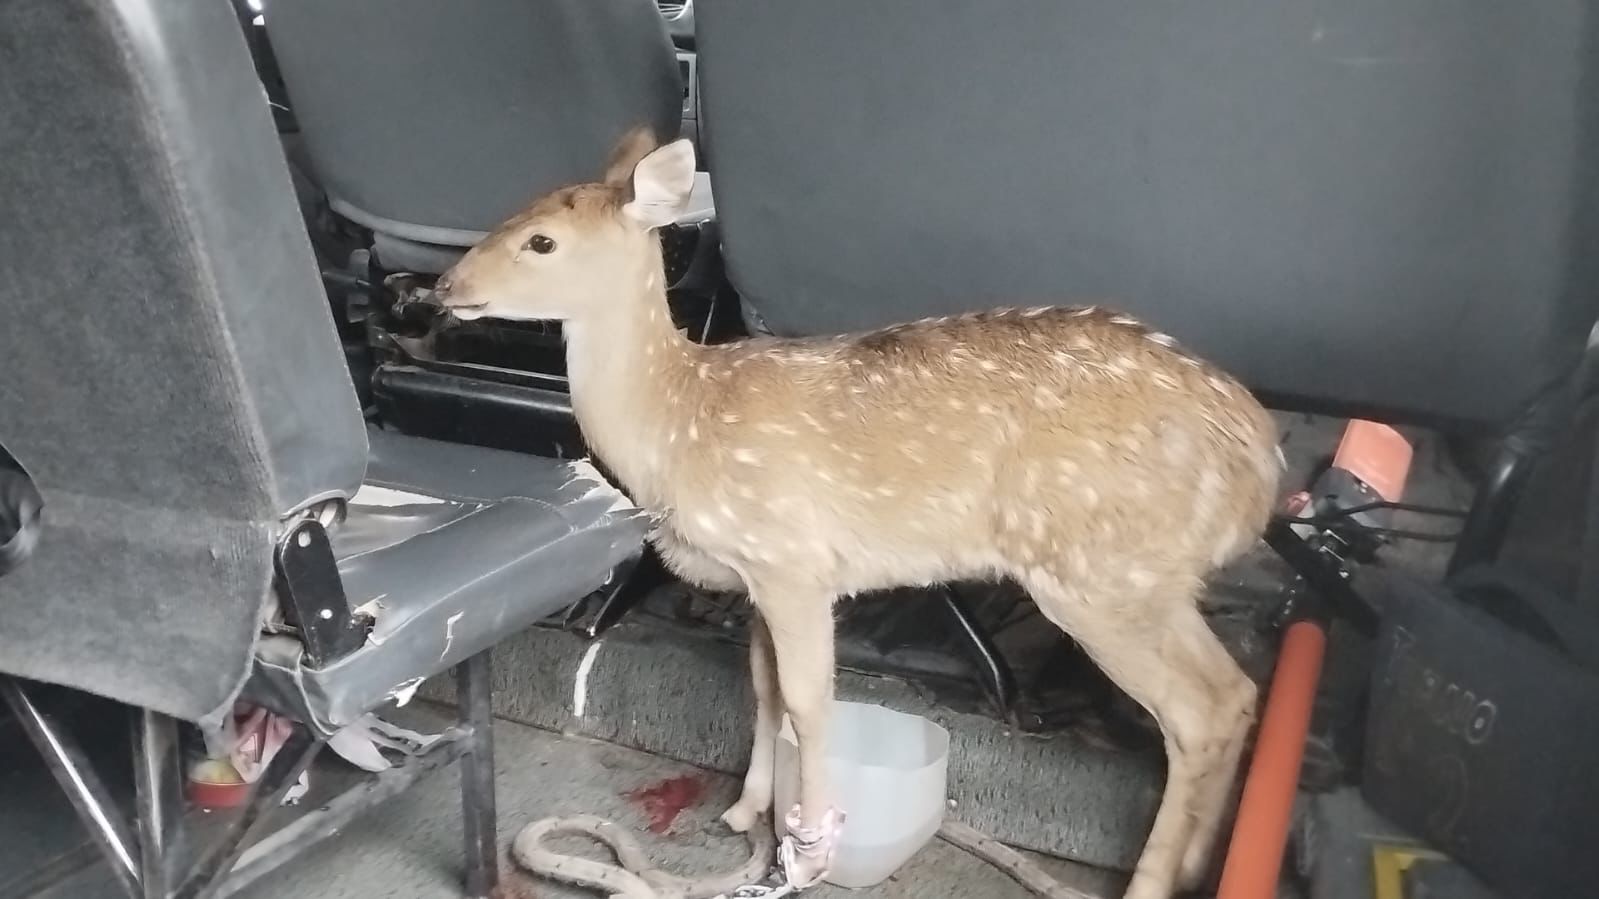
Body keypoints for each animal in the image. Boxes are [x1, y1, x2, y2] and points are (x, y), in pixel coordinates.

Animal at [431, 127, 1282, 899]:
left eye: (541, 240)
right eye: (511, 211)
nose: (443, 286)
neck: (679, 424)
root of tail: (1258, 459)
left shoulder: (792, 560)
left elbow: (810, 703)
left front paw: (809, 851)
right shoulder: (756, 577)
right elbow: (764, 689)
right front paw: (747, 812)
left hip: (1097, 569)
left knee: (1197, 711)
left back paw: (1152, 881)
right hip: (1148, 577)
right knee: (1236, 693)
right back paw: (1198, 864)